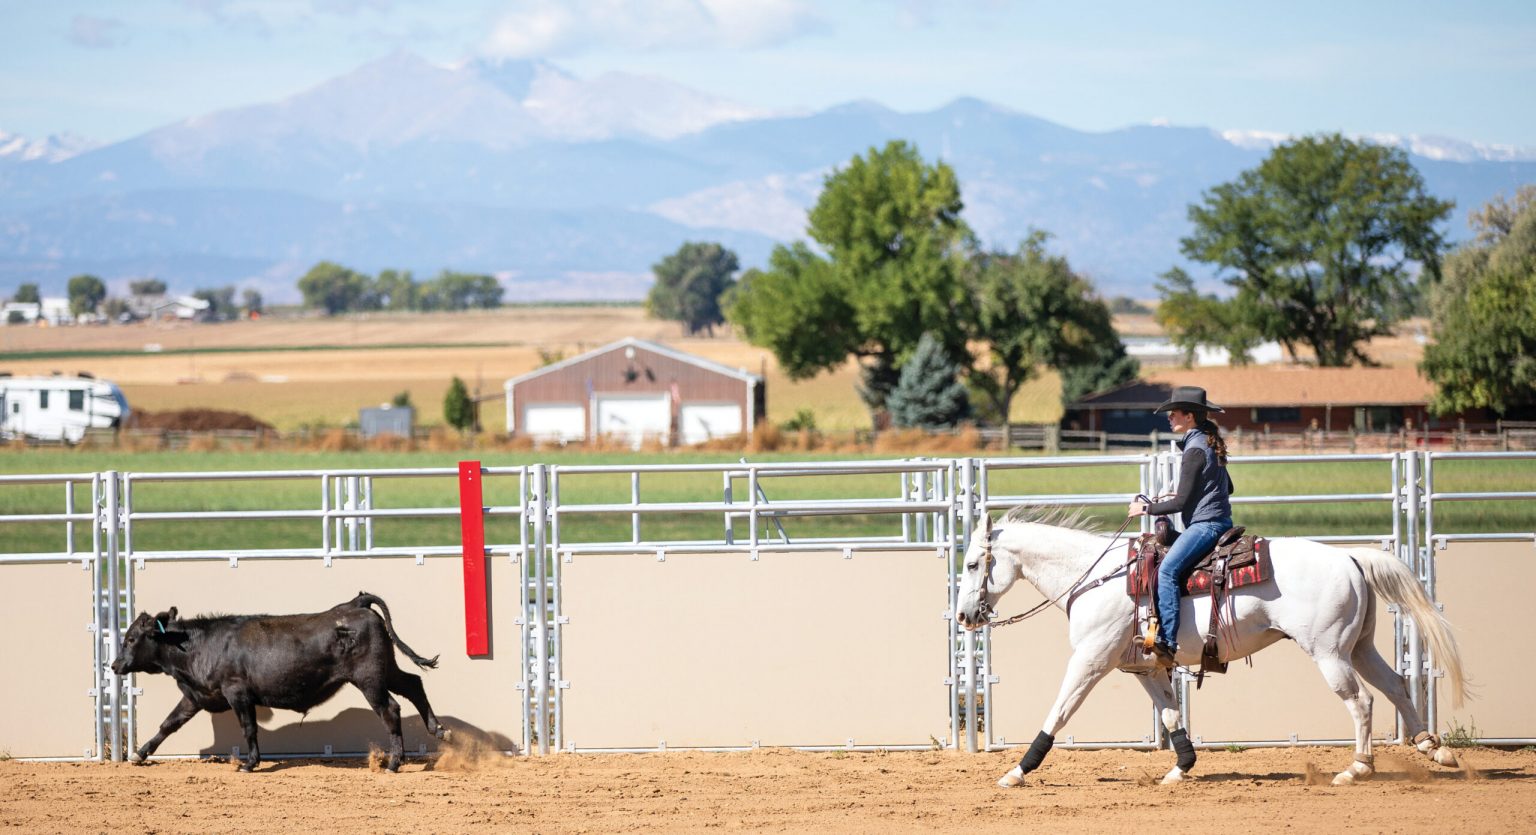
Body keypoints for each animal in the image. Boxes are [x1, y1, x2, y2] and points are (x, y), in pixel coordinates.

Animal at [111, 591, 449, 772]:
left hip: (370, 679)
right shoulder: (196, 696)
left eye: (130, 639)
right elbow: (169, 724)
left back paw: (394, 762)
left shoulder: (238, 693)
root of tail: (355, 605)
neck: (200, 645)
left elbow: (249, 728)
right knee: (414, 684)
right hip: (386, 670)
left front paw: (250, 763)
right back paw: (438, 729)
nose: (114, 665)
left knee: (390, 709)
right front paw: (140, 754)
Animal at [955, 505, 1467, 788]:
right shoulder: (1144, 668)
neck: (1096, 577)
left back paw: (1356, 768)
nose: (963, 617)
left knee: (1361, 701)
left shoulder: (1090, 660)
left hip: (1329, 654)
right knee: (1396, 686)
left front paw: (1017, 771)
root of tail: (1349, 557)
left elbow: (1058, 713)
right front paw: (1181, 768)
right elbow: (1170, 715)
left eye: (973, 563)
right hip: (1358, 646)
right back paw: (1435, 749)